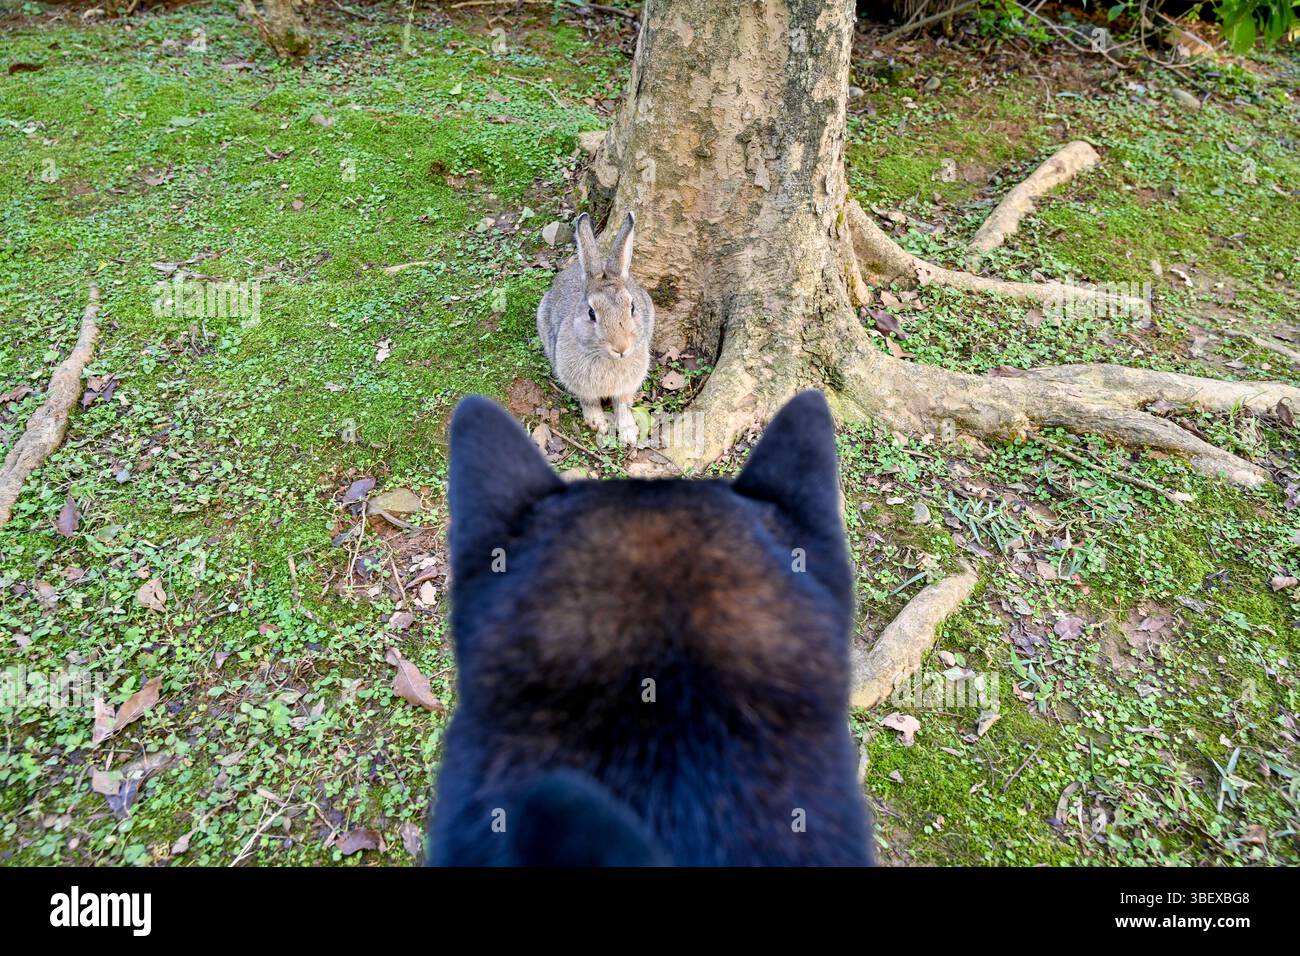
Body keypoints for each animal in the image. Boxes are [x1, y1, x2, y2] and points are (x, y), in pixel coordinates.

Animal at [537, 212, 654, 445]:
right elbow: (590, 402)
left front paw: (628, 433)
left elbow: (623, 405)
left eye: (632, 307)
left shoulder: (627, 386)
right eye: (591, 313)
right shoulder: (580, 385)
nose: (621, 348)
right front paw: (598, 423)